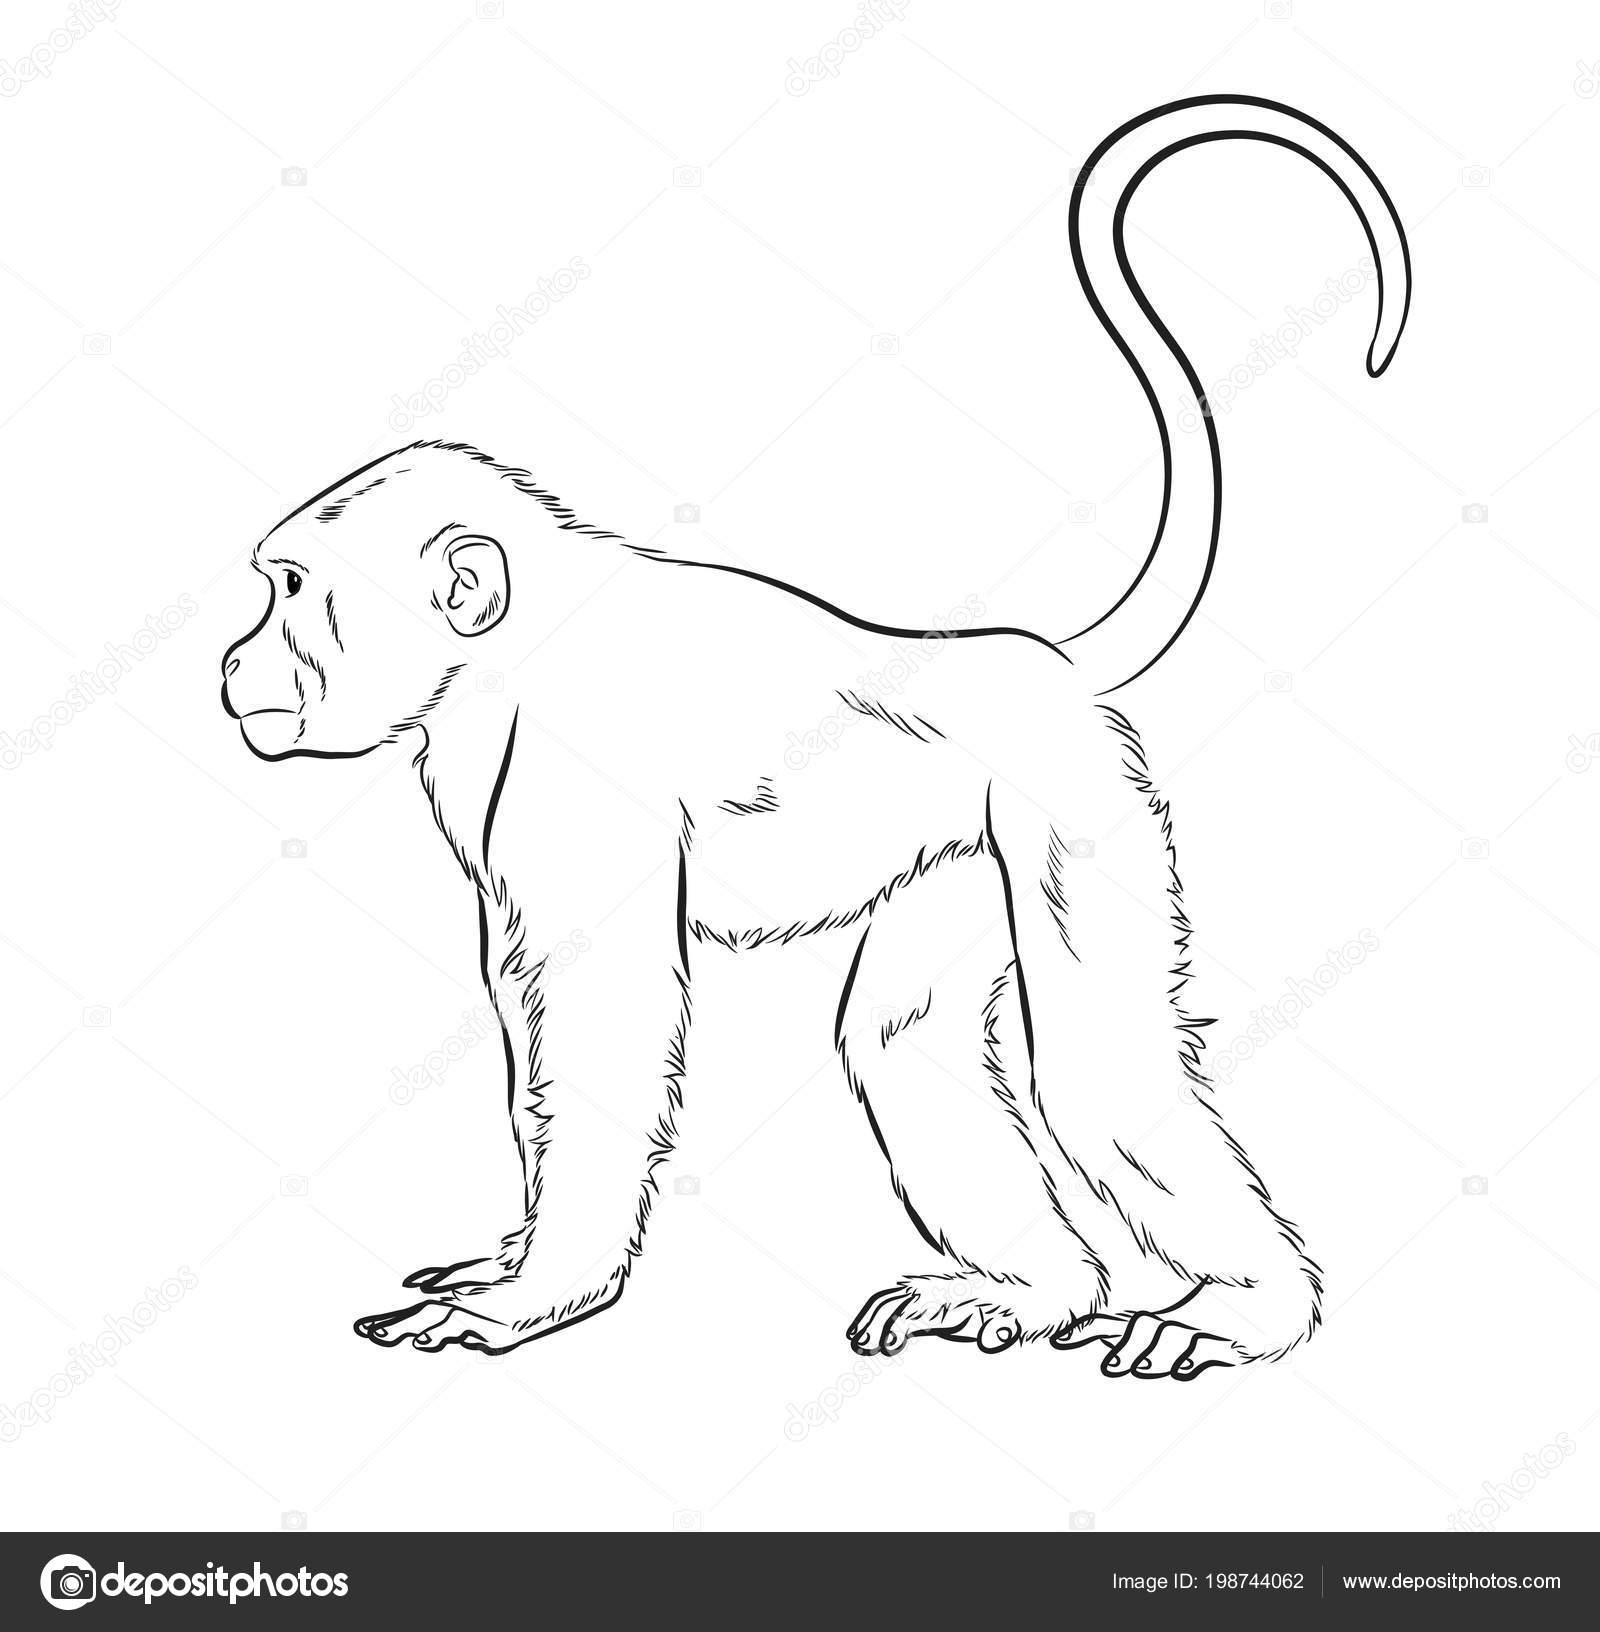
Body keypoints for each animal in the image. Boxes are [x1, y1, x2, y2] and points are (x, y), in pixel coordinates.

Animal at [220, 97, 1409, 1376]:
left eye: (293, 591)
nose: (235, 664)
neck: (511, 651)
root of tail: (1021, 658)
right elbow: (526, 1000)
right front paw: (511, 1258)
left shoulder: (567, 777)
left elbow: (607, 1009)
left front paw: (538, 1294)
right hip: (970, 846)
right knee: (898, 1038)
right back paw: (1037, 1292)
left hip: (1069, 797)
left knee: (1093, 1059)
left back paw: (1249, 1308)